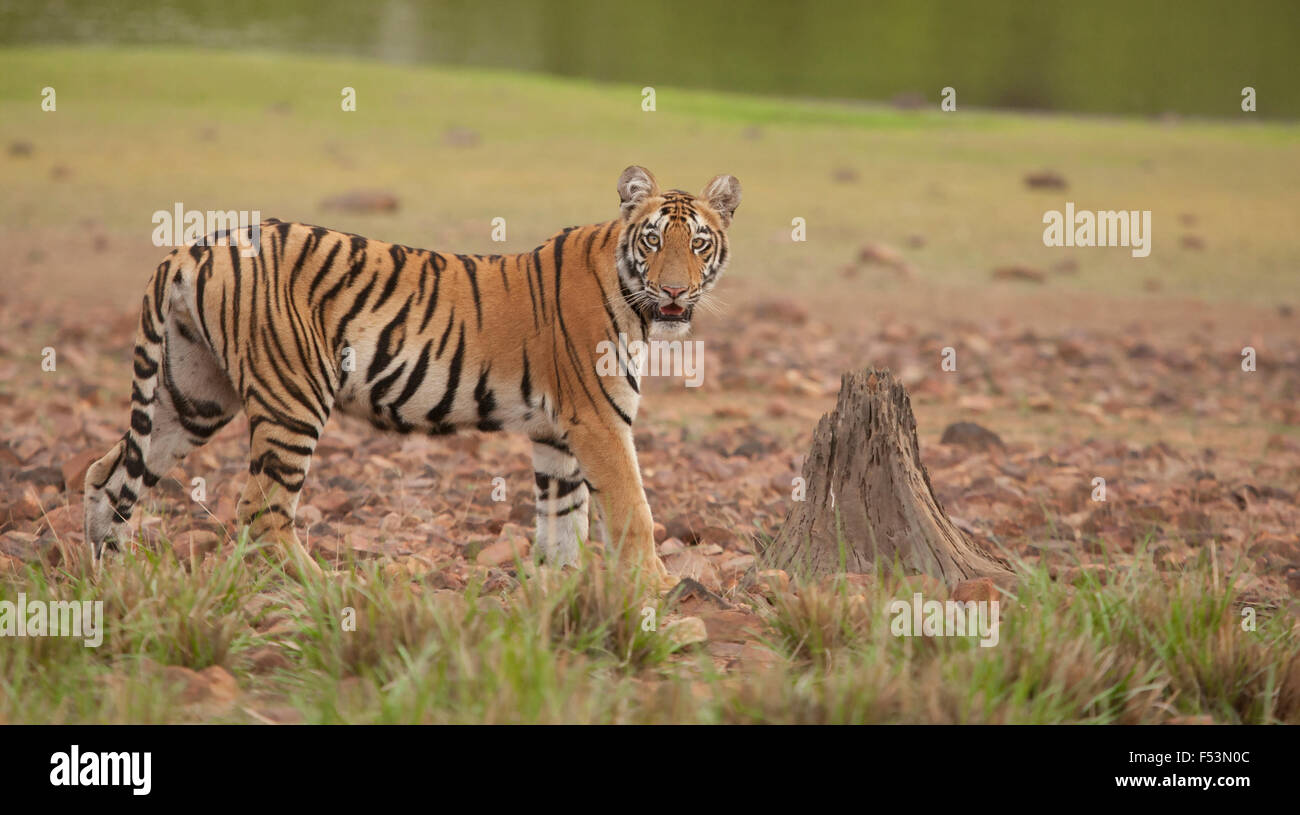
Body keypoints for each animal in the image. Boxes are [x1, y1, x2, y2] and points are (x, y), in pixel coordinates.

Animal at [83, 166, 741, 588]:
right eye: (653, 240)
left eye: (698, 243)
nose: (674, 292)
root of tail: (193, 246)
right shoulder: (599, 421)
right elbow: (632, 510)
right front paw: (656, 590)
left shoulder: (557, 434)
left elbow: (564, 521)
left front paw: (564, 596)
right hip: (292, 396)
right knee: (262, 508)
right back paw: (327, 590)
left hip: (192, 395)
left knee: (109, 474)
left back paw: (112, 583)